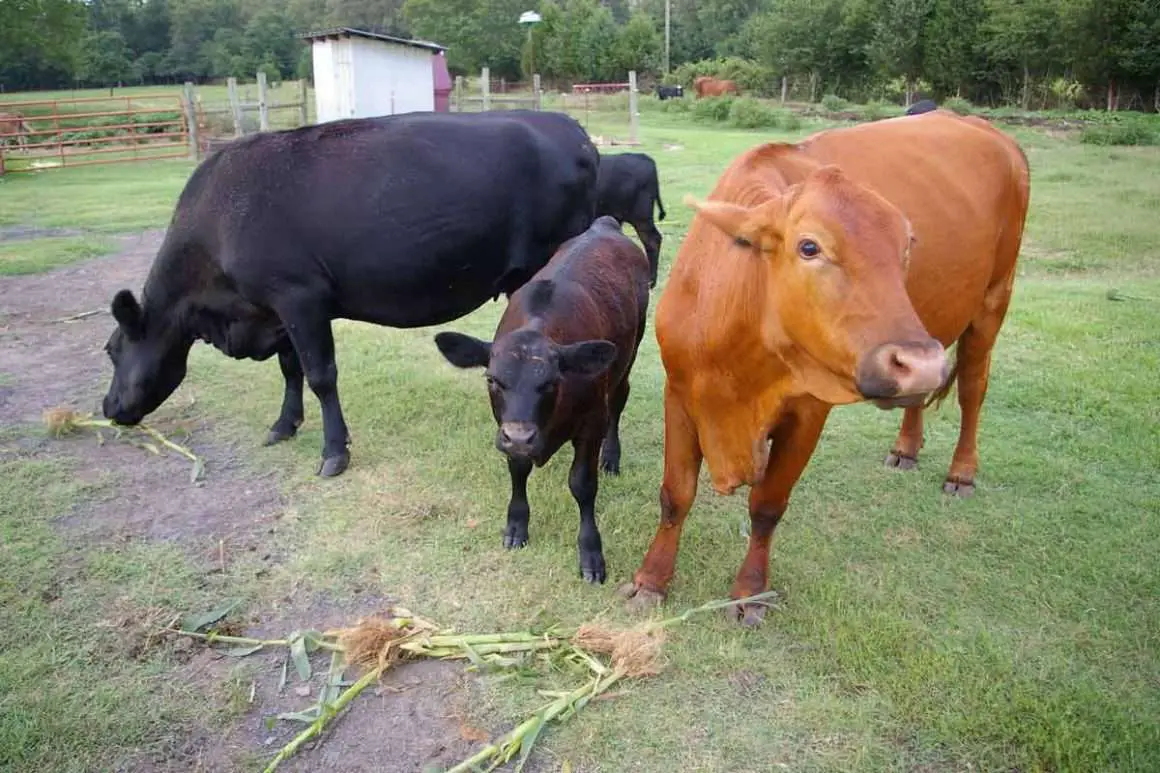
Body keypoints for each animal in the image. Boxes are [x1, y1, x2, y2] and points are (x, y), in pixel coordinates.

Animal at [101, 110, 600, 478]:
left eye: (110, 350)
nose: (108, 406)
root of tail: (571, 129)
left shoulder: (299, 296)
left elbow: (320, 375)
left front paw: (334, 451)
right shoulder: (277, 308)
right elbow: (290, 368)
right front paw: (284, 425)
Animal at [433, 216, 651, 584]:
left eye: (551, 382)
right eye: (492, 379)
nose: (521, 437)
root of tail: (604, 224)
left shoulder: (591, 423)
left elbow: (582, 484)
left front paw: (591, 553)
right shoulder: (506, 428)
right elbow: (517, 469)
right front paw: (516, 525)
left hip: (629, 354)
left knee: (619, 402)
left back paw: (611, 457)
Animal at [617, 110, 1030, 624]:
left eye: (907, 247)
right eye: (809, 247)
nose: (921, 364)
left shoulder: (809, 412)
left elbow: (767, 505)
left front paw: (749, 593)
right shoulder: (680, 392)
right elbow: (676, 494)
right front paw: (650, 580)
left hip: (993, 300)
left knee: (973, 387)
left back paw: (961, 472)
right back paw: (907, 447)